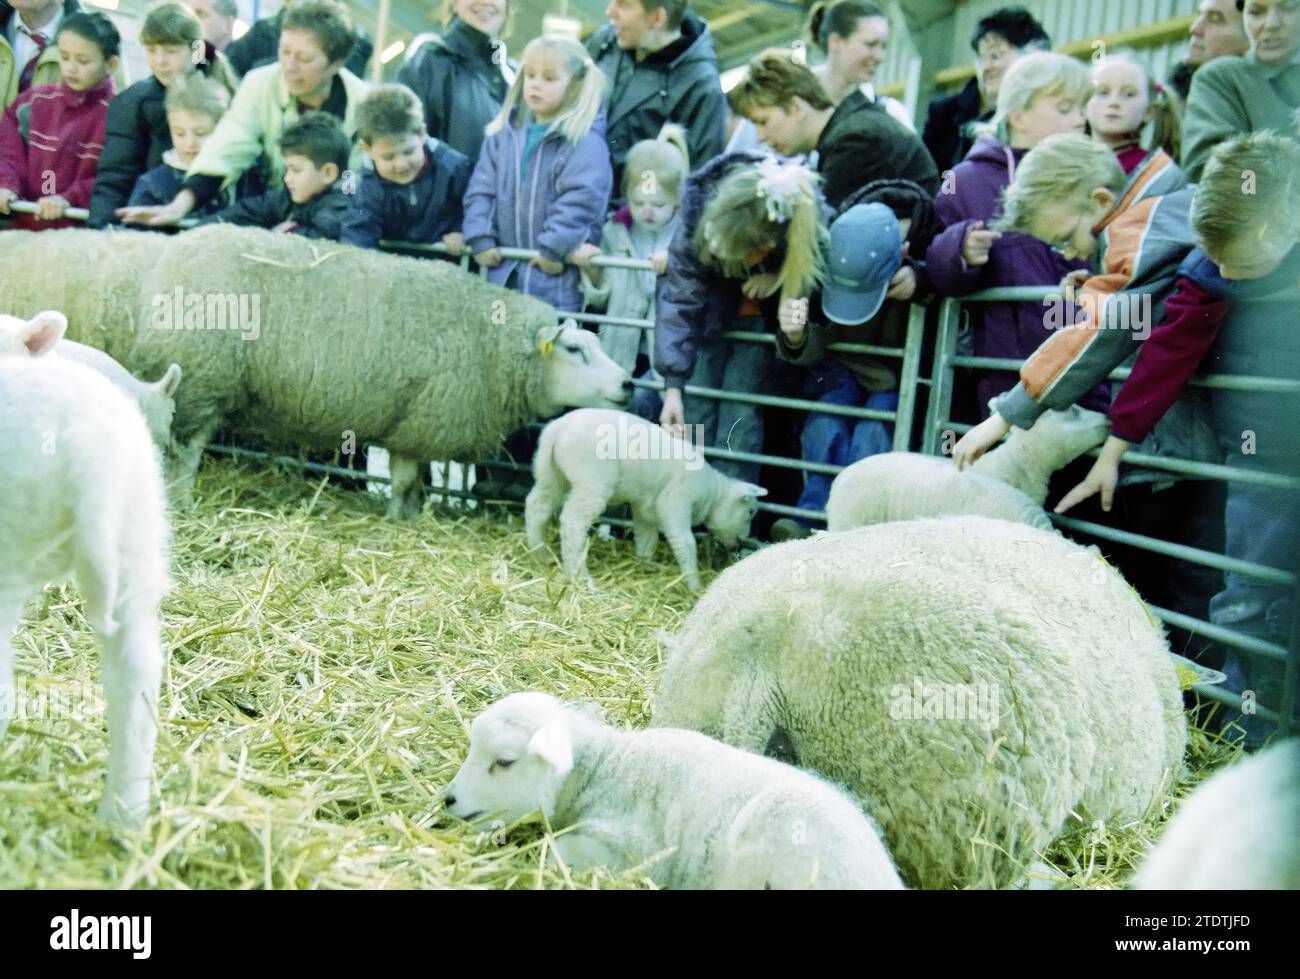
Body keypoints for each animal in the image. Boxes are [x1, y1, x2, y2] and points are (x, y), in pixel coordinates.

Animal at [525, 408, 766, 592]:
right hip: (592, 481)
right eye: (750, 513)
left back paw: (539, 553)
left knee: (536, 506)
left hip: (550, 473)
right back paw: (579, 573)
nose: (739, 543)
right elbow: (685, 542)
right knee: (573, 522)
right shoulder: (675, 501)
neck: (713, 493)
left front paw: (646, 565)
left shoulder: (645, 509)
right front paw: (694, 585)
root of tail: (558, 428)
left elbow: (647, 538)